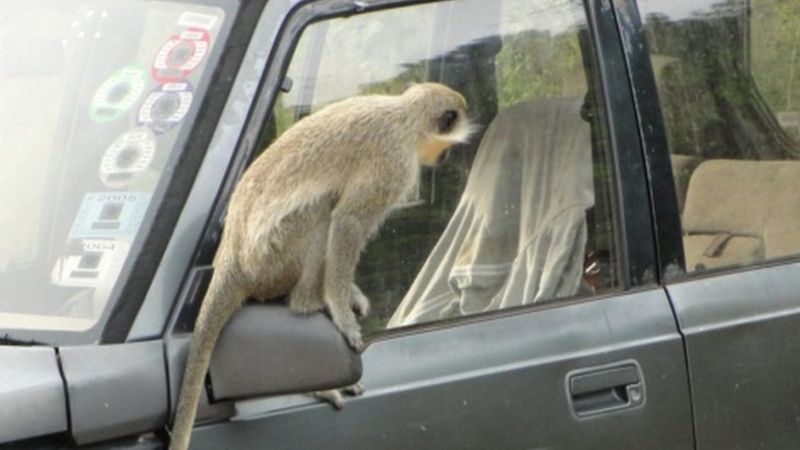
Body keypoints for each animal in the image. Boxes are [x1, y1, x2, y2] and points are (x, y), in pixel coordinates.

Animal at [168, 82, 473, 450]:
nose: (445, 157)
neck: (405, 115)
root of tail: (231, 257)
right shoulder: (394, 164)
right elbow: (347, 221)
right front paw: (341, 311)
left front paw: (349, 293)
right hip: (270, 260)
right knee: (323, 211)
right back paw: (308, 304)